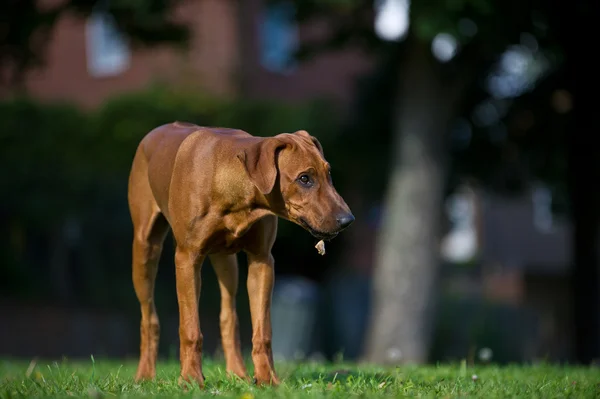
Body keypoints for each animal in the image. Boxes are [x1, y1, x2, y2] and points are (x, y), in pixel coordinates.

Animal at [126, 122, 352, 388]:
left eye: (329, 174)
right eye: (304, 178)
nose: (348, 220)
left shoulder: (262, 260)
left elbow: (262, 331)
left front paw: (267, 379)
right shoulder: (187, 258)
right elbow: (190, 329)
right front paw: (190, 379)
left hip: (226, 262)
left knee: (229, 315)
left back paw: (237, 373)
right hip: (144, 250)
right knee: (148, 317)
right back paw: (145, 375)